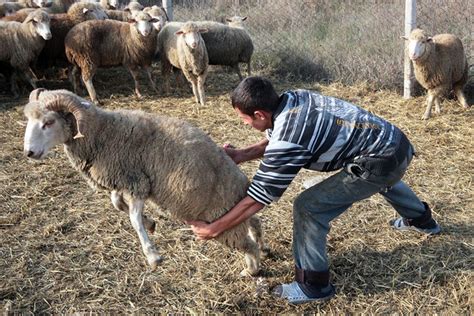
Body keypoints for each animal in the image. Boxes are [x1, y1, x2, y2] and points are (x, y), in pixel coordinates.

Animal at [24, 87, 268, 276]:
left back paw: (251, 270)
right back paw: (262, 247)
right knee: (255, 224)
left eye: (48, 122)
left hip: (222, 223)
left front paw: (153, 255)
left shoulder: (138, 183)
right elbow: (117, 203)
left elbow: (133, 219)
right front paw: (150, 223)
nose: (29, 152)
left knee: (247, 246)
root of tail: (242, 184)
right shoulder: (124, 179)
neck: (102, 132)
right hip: (235, 217)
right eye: (28, 120)